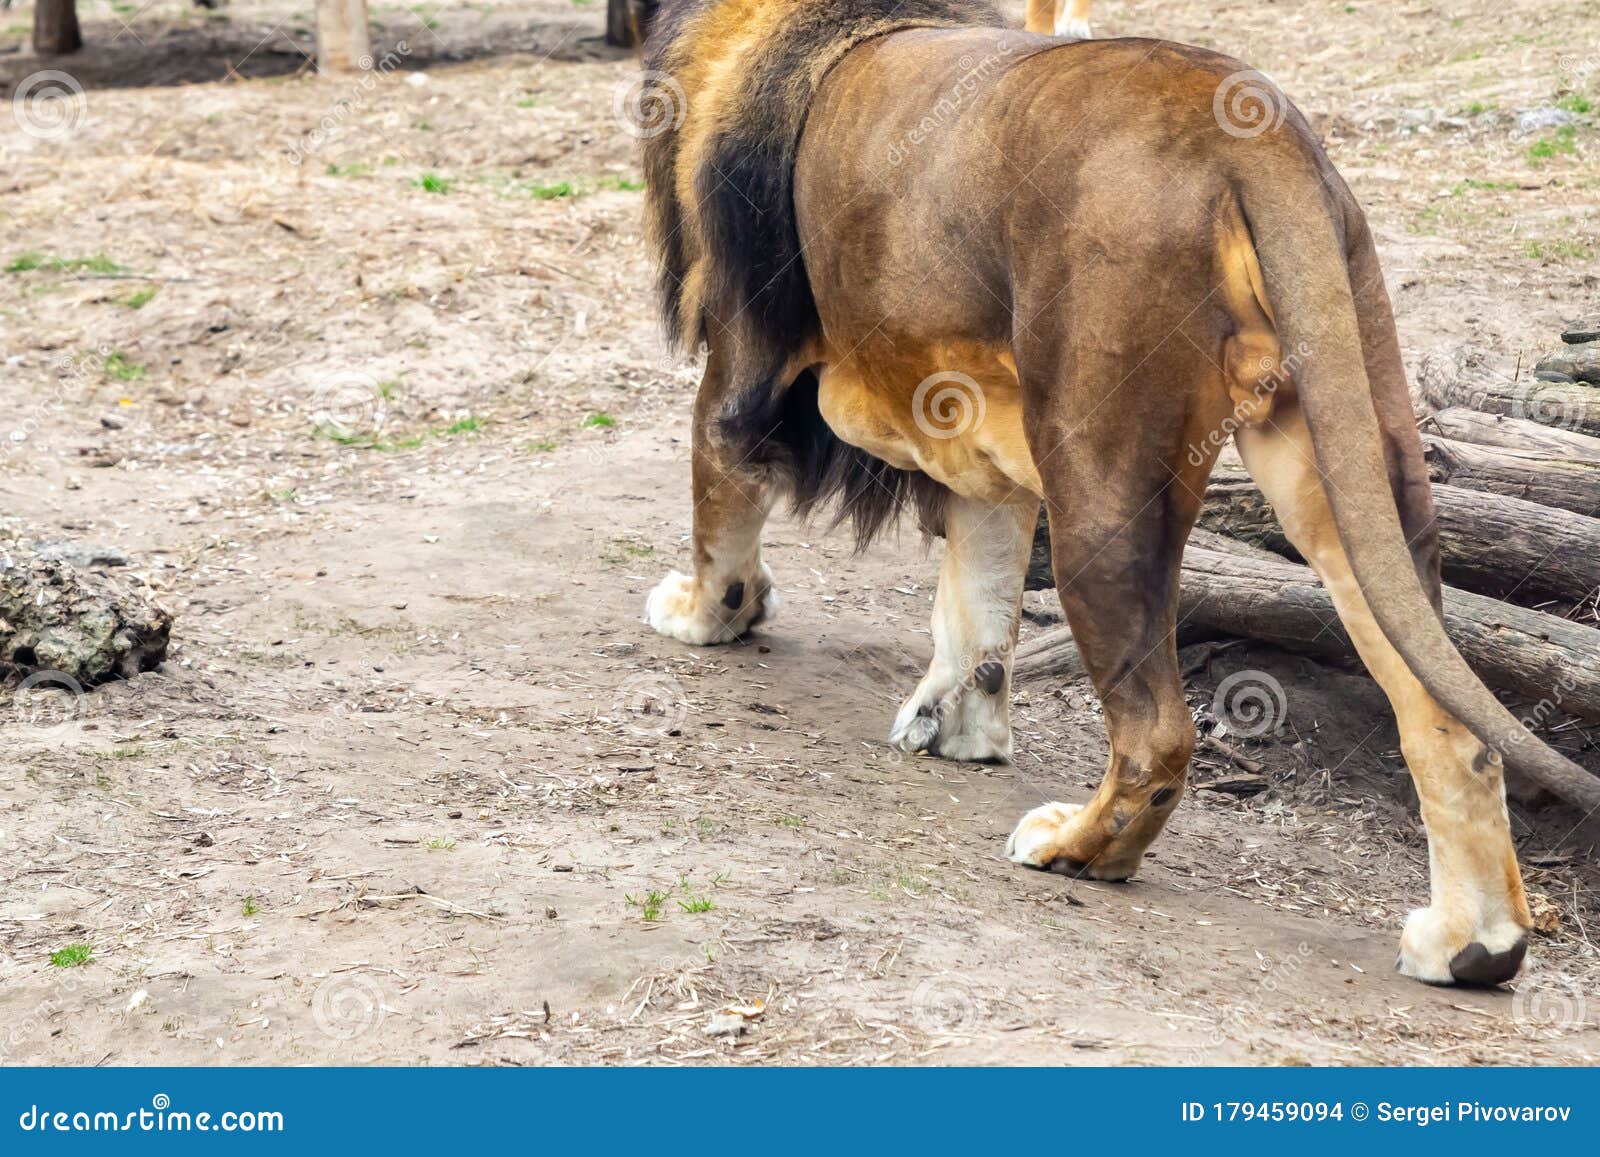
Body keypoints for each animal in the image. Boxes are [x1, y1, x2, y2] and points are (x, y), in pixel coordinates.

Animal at [630, 0, 1582, 987]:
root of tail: (1245, 120)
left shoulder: (740, 356)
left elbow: (720, 499)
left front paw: (702, 614)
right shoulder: (975, 429)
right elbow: (978, 602)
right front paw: (957, 725)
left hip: (1097, 471)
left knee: (1160, 729)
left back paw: (1079, 850)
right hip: (1340, 438)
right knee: (1446, 713)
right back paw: (1472, 944)